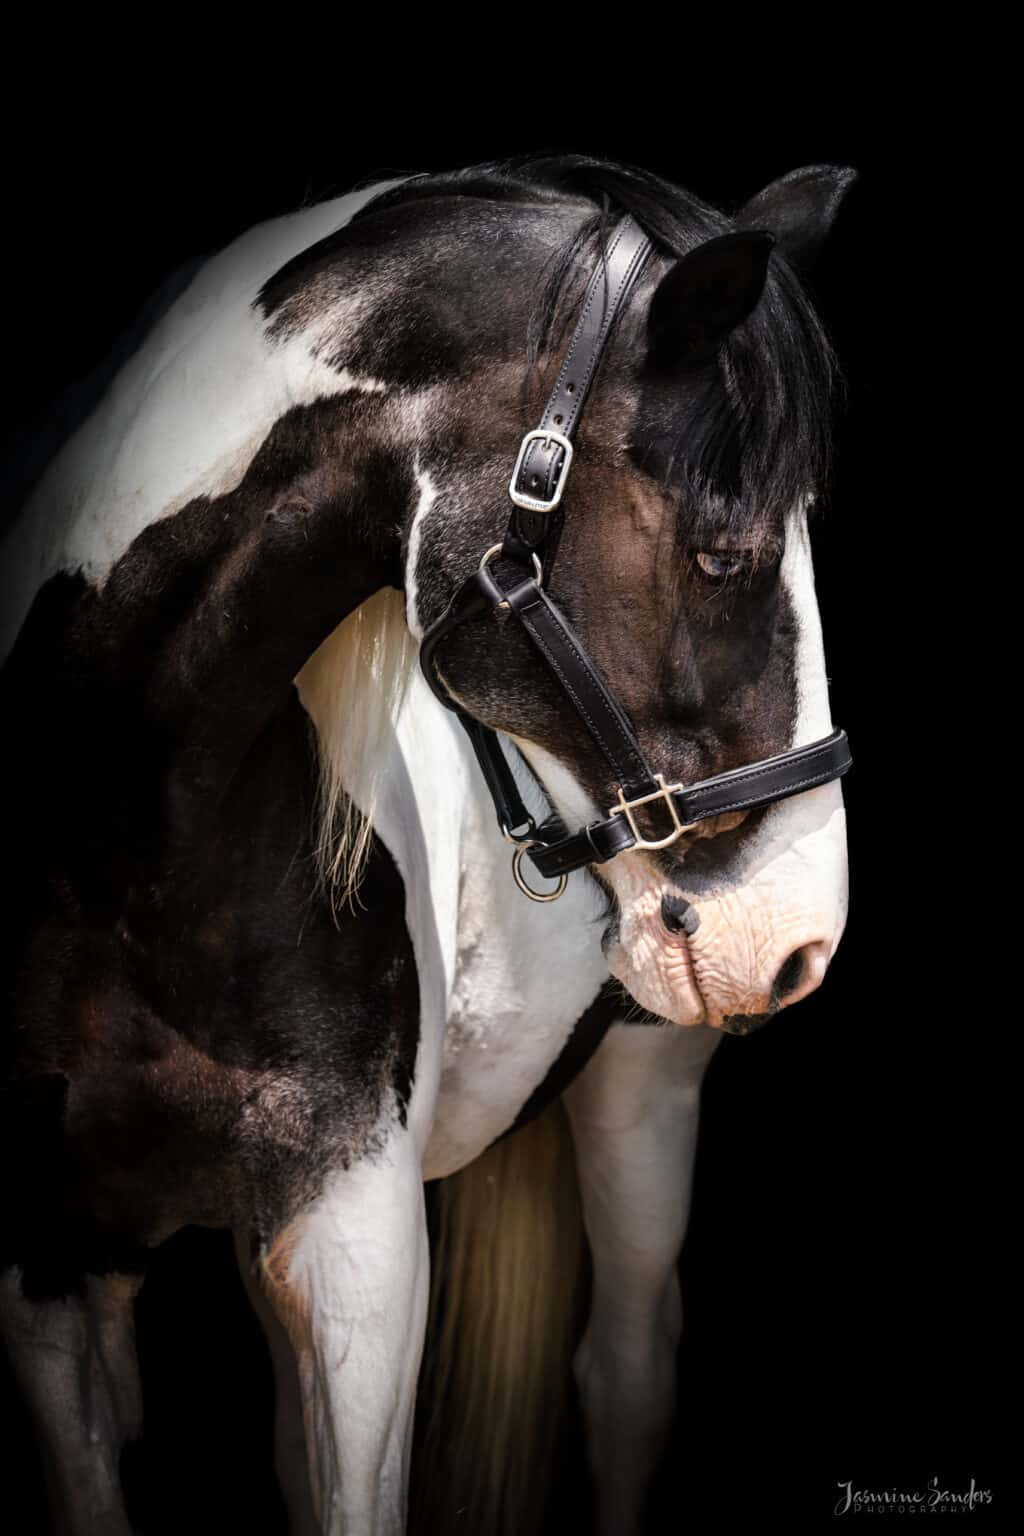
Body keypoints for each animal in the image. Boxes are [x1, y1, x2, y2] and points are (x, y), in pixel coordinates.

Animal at [0, 150, 857, 1535]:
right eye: (722, 555)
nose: (798, 942)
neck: (125, 841)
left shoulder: (356, 1236)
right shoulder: (50, 1263)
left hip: (646, 1085)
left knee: (624, 1381)